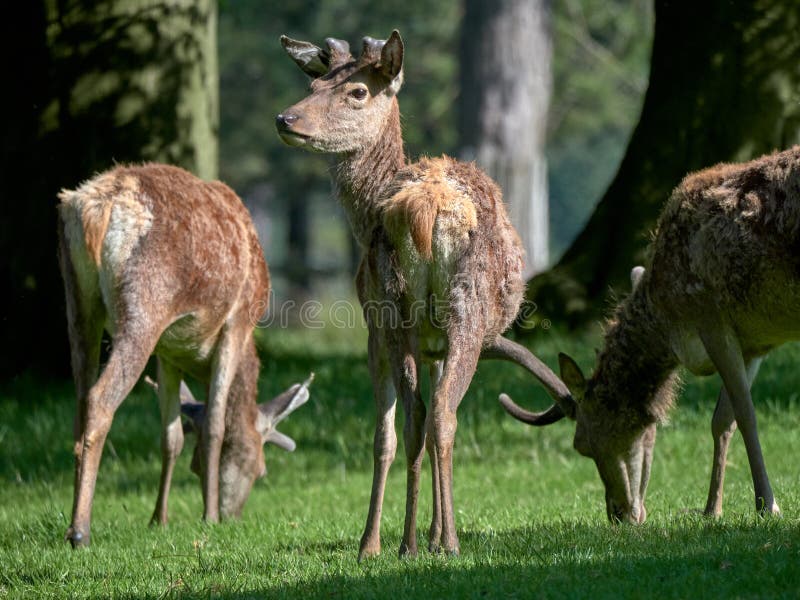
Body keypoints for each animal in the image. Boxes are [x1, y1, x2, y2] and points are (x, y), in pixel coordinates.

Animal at [57, 163, 311, 547]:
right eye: (259, 469)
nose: (233, 516)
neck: (197, 361)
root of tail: (96, 209)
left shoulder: (168, 353)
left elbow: (172, 436)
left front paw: (158, 520)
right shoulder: (235, 325)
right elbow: (216, 425)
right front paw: (209, 517)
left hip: (78, 300)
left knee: (80, 401)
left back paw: (74, 520)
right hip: (144, 307)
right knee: (101, 399)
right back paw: (80, 531)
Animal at [276, 30, 572, 559]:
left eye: (356, 91)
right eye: (315, 84)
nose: (286, 119)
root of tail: (428, 205)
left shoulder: (379, 331)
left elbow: (388, 433)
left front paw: (381, 541)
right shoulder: (424, 341)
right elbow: (417, 422)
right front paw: (425, 535)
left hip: (402, 314)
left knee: (420, 419)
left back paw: (406, 542)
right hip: (453, 316)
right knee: (440, 417)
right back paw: (439, 540)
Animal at [500, 146, 800, 524]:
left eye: (581, 444)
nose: (618, 513)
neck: (668, 324)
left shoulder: (711, 318)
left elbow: (746, 415)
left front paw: (766, 504)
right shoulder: (755, 341)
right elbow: (723, 420)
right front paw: (711, 509)